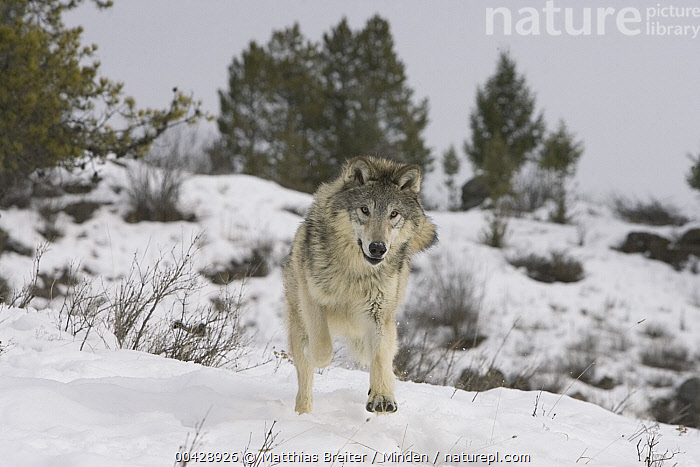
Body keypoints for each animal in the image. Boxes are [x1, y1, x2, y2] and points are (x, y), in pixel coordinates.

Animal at [283, 156, 437, 414]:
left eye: (393, 214)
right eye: (365, 209)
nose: (377, 248)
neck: (355, 273)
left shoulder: (380, 315)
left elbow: (381, 357)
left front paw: (382, 396)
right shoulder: (311, 299)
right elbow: (322, 350)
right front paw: (313, 354)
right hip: (298, 320)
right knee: (304, 379)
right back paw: (301, 412)